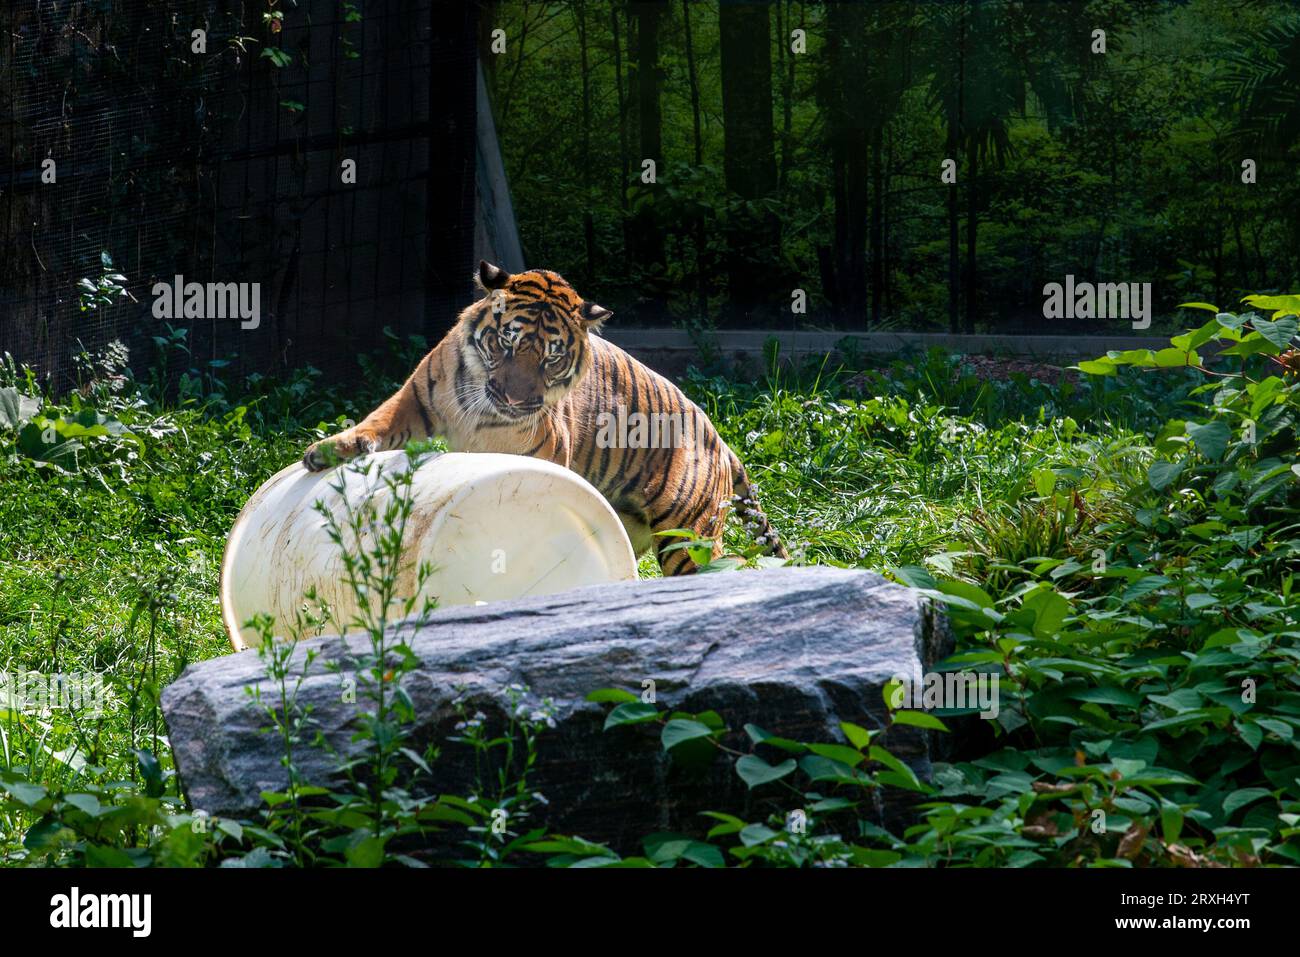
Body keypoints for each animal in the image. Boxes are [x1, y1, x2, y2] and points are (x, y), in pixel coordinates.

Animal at [302, 260, 787, 575]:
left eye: (551, 358)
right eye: (506, 343)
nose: (515, 400)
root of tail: (720, 441)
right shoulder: (416, 398)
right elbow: (375, 423)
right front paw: (326, 450)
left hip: (688, 537)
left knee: (725, 565)